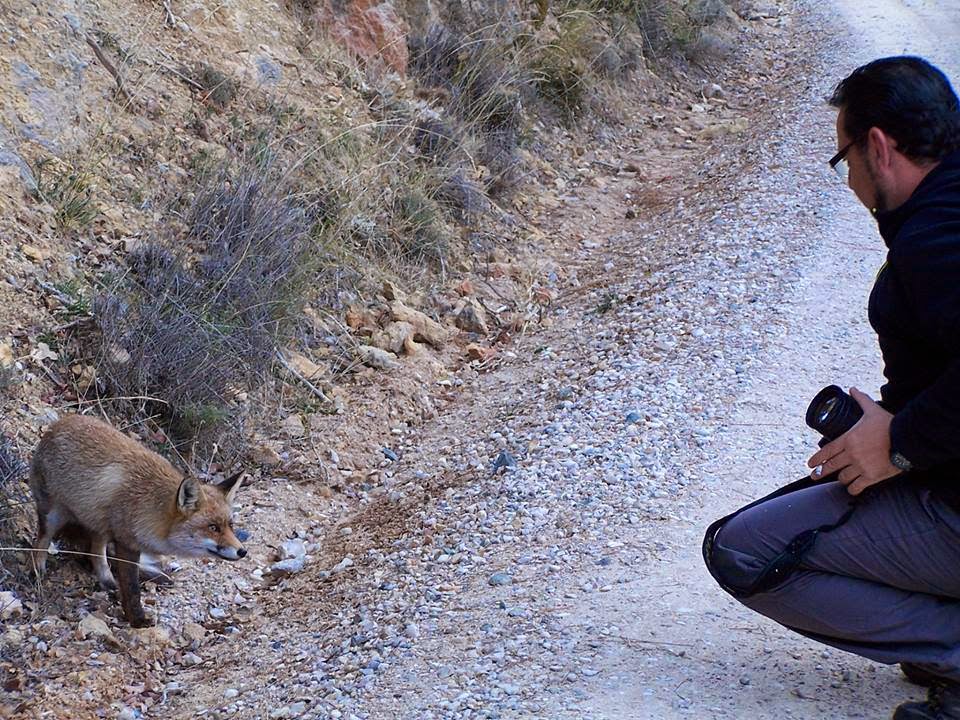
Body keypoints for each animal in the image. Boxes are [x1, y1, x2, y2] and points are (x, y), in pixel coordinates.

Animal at [29, 414, 247, 627]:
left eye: (230, 525)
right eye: (213, 527)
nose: (242, 551)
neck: (149, 508)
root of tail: (58, 422)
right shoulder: (127, 543)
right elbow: (132, 588)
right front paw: (137, 620)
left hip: (100, 524)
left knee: (96, 550)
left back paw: (108, 581)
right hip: (53, 515)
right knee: (42, 540)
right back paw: (38, 571)